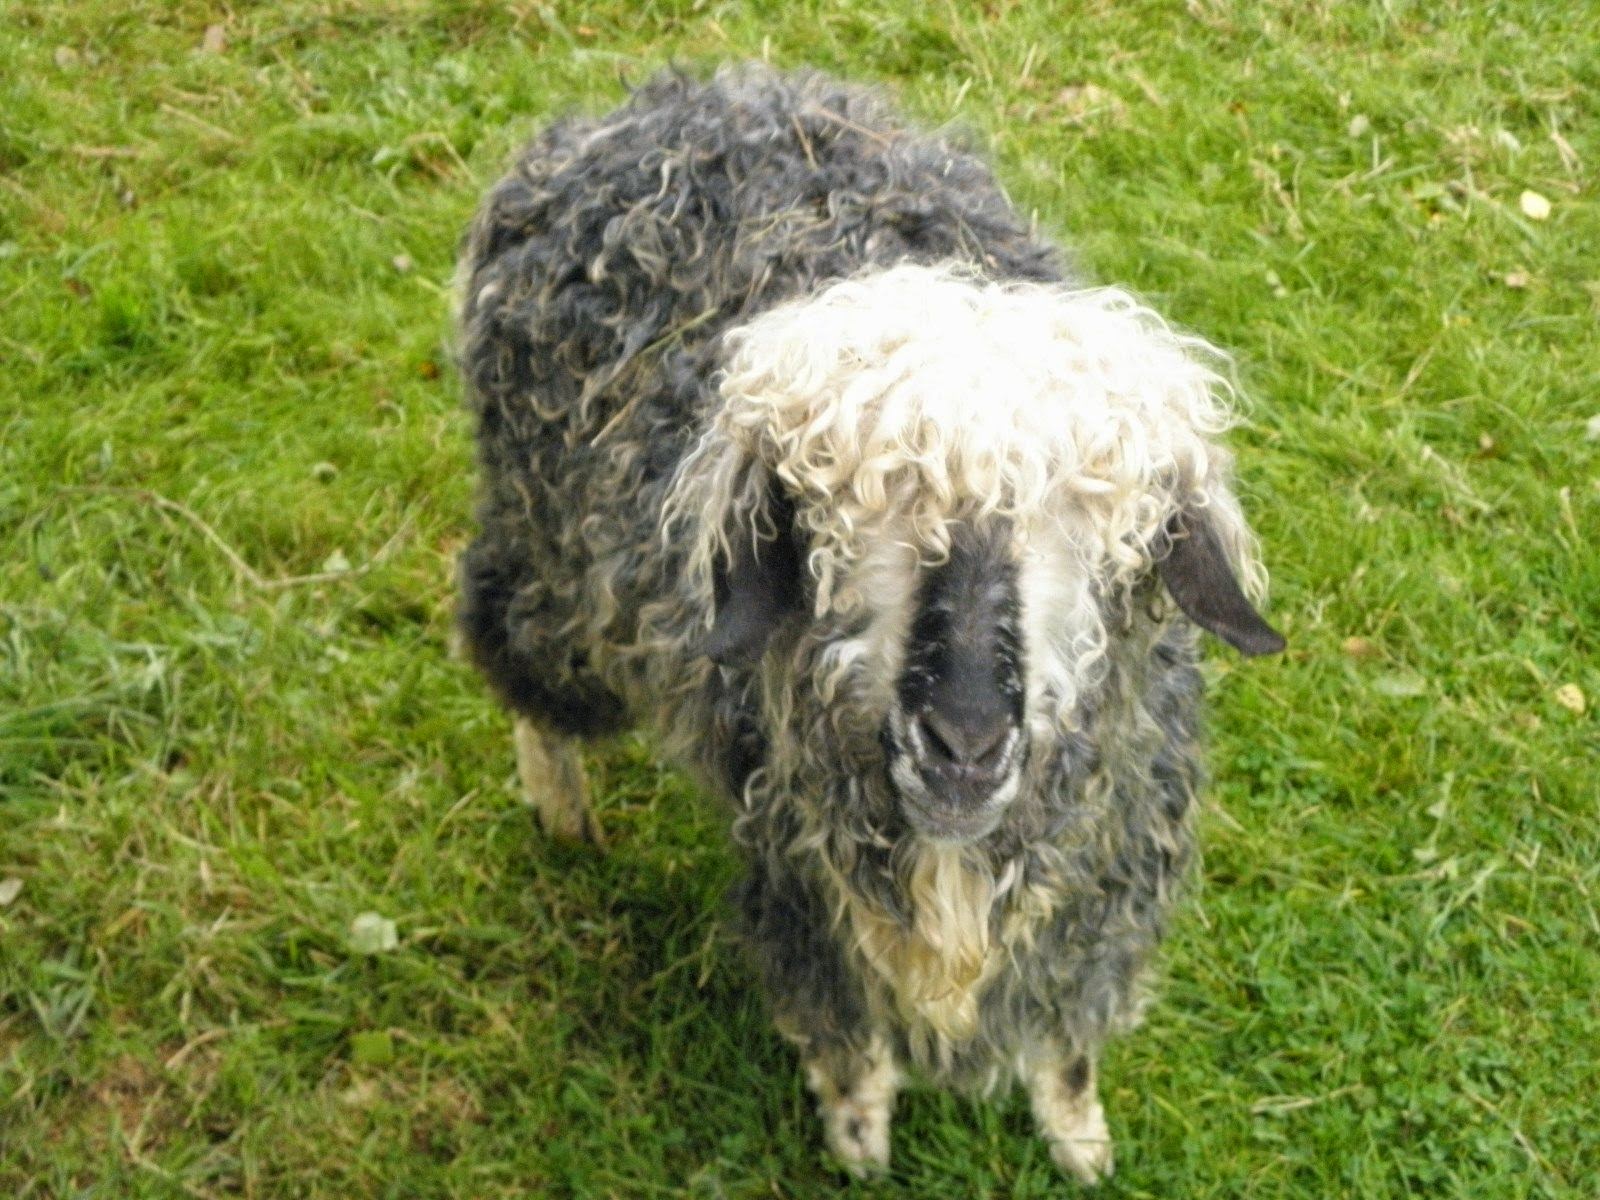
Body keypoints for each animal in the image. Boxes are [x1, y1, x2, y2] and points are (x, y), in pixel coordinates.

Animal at [455, 65, 1283, 1182]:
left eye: (1100, 524)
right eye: (832, 511)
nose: (963, 743)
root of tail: (676, 95)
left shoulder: (1099, 881)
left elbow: (1067, 1040)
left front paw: (1079, 1140)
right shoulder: (801, 882)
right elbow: (845, 1035)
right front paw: (859, 1140)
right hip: (550, 551)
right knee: (514, 644)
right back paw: (562, 807)